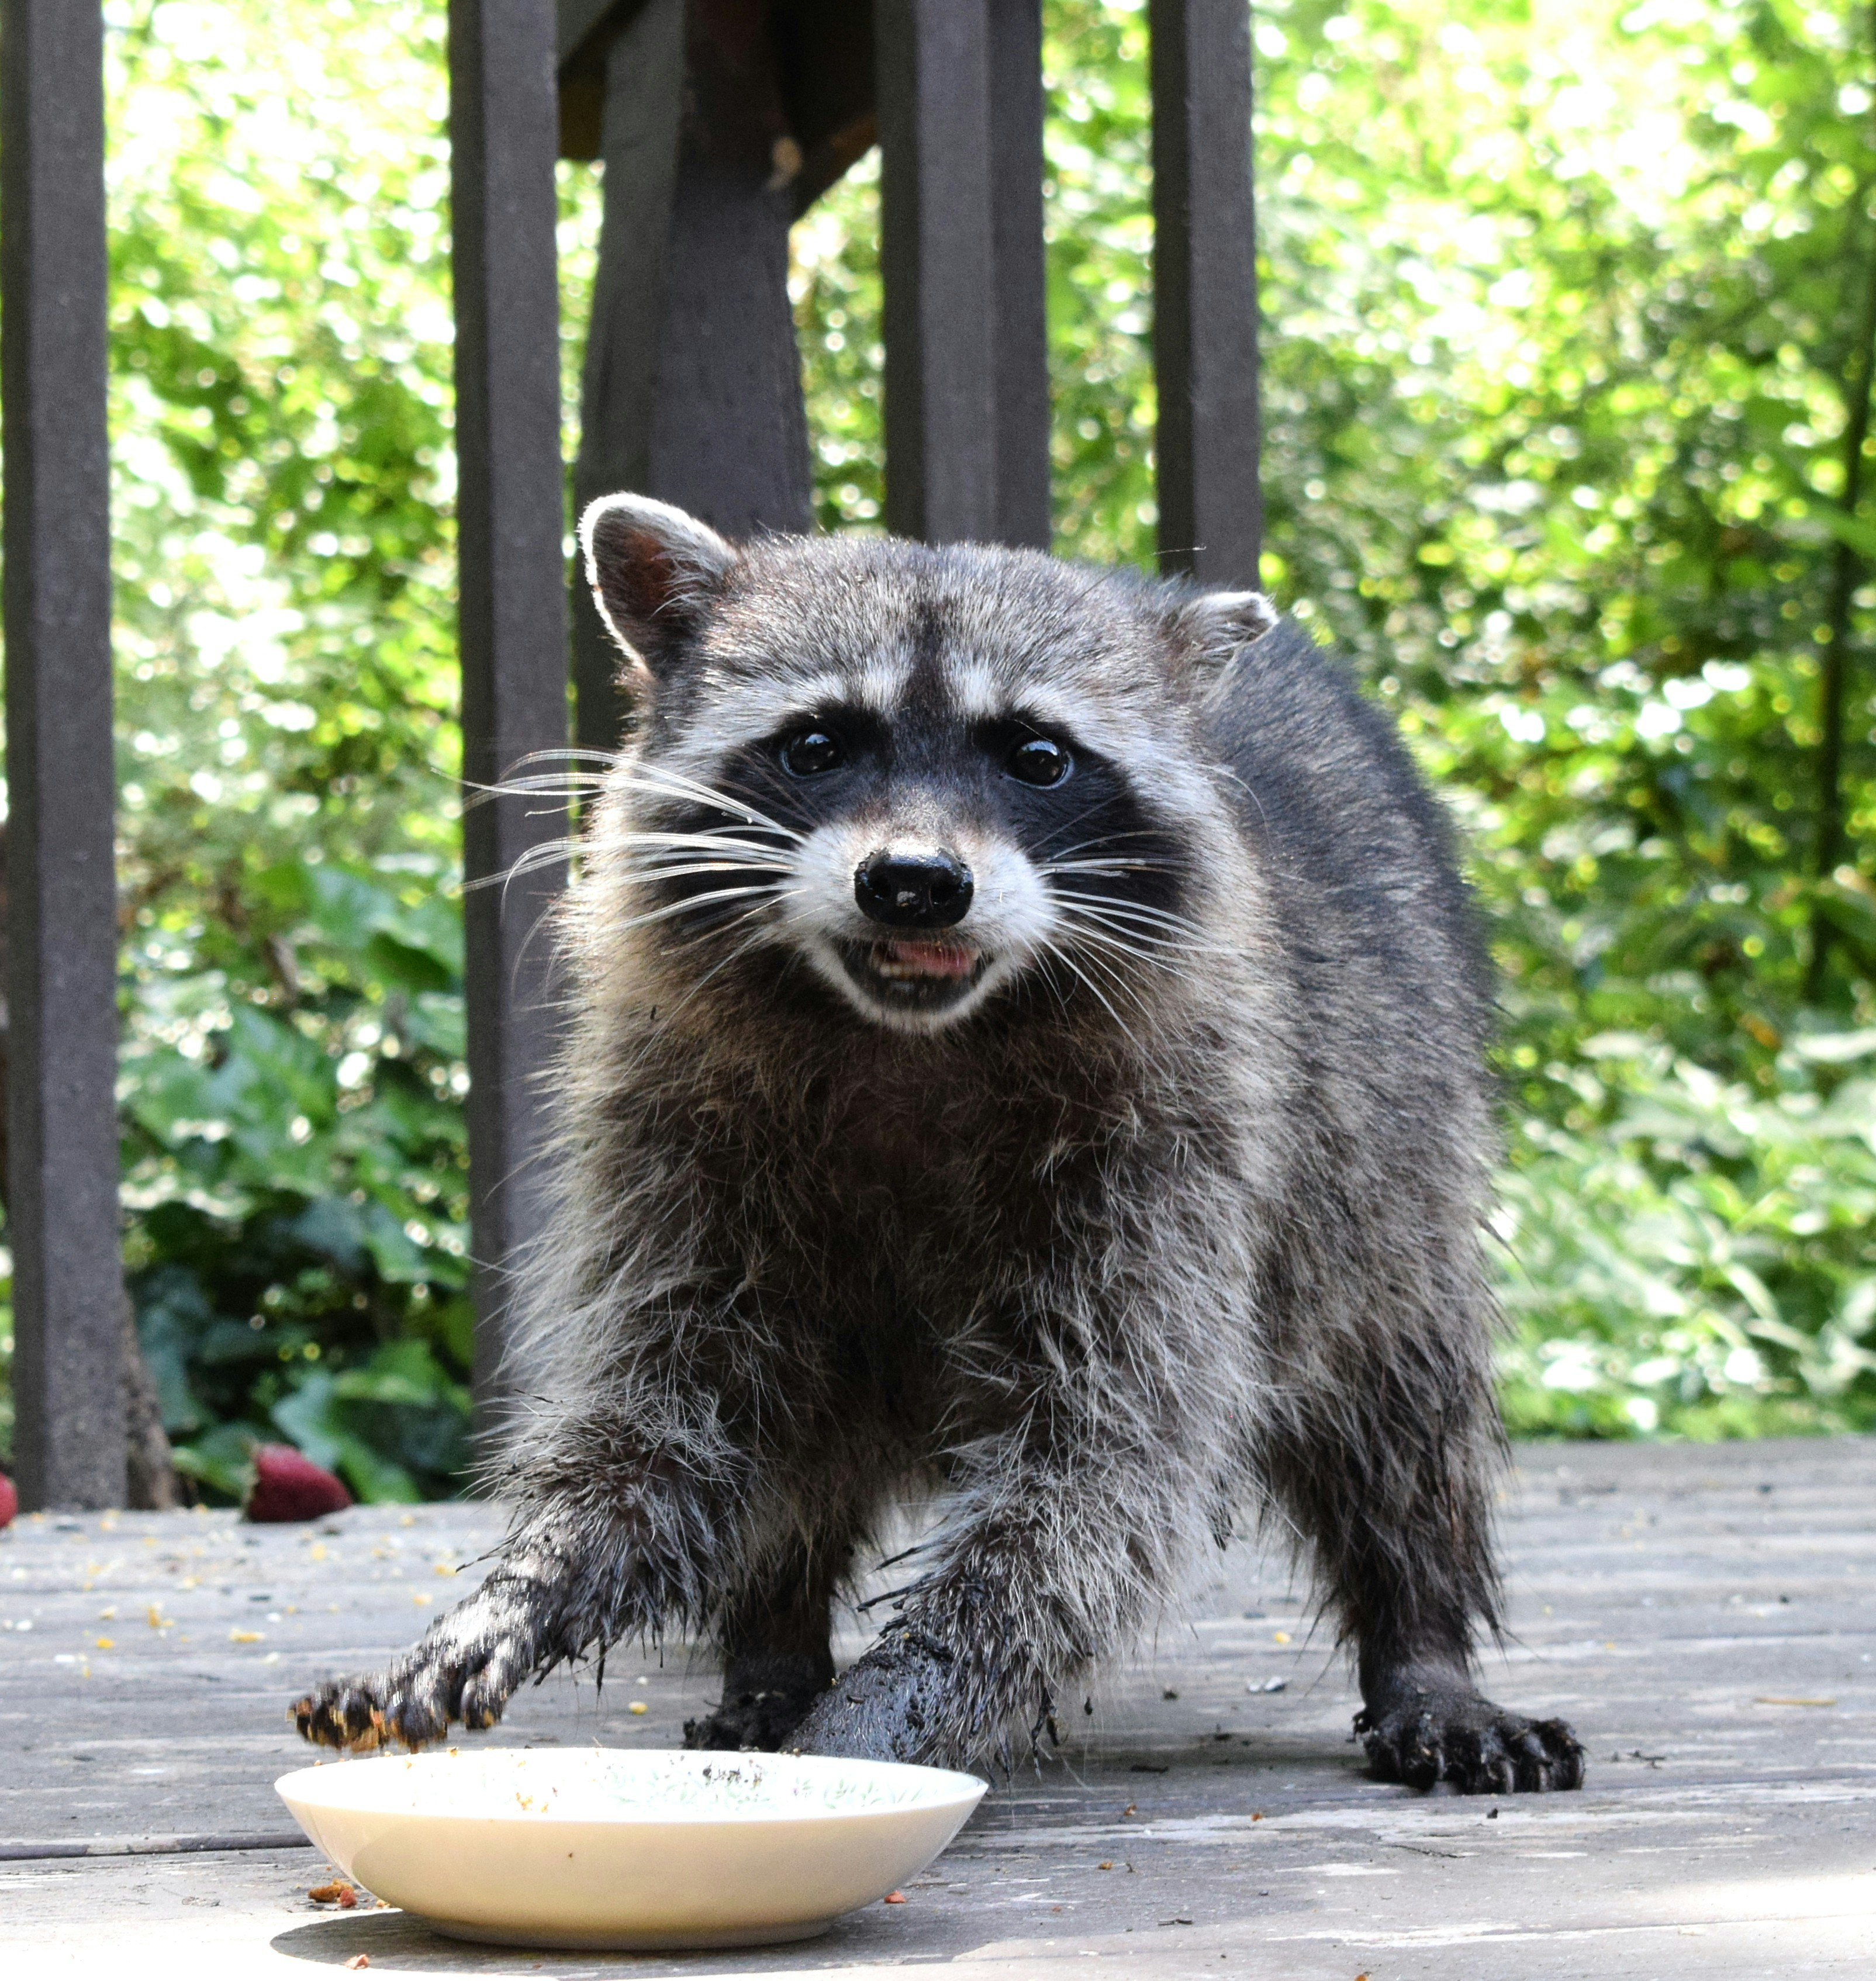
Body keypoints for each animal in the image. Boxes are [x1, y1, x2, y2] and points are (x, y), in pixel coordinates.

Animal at [294, 496, 1584, 1795]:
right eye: (816, 744)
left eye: (1036, 756)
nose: (913, 884)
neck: (913, 1036)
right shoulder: (672, 1137)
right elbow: (666, 1419)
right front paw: (529, 1582)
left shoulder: (1180, 1155)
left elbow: (1100, 1461)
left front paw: (884, 1710)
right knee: (787, 1443)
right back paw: (772, 1644)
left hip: (1385, 1152)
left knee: (1398, 1405)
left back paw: (1419, 1631)